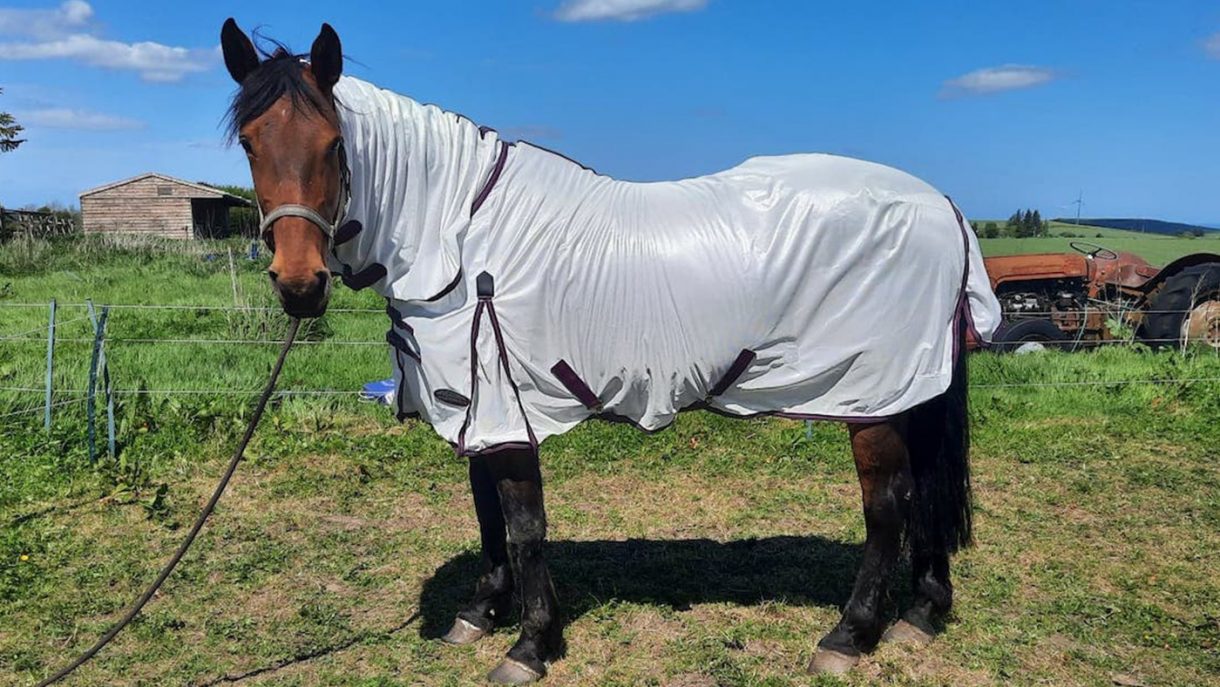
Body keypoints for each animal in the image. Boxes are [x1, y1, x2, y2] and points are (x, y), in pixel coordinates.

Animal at [220, 19, 1001, 684]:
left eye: (333, 144)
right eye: (250, 144)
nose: (299, 285)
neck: (459, 232)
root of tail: (942, 205)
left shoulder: (508, 406)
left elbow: (525, 524)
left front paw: (531, 643)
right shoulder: (474, 402)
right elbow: (486, 514)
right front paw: (481, 611)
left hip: (871, 397)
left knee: (890, 507)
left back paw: (850, 633)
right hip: (910, 393)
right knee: (925, 493)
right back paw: (921, 612)